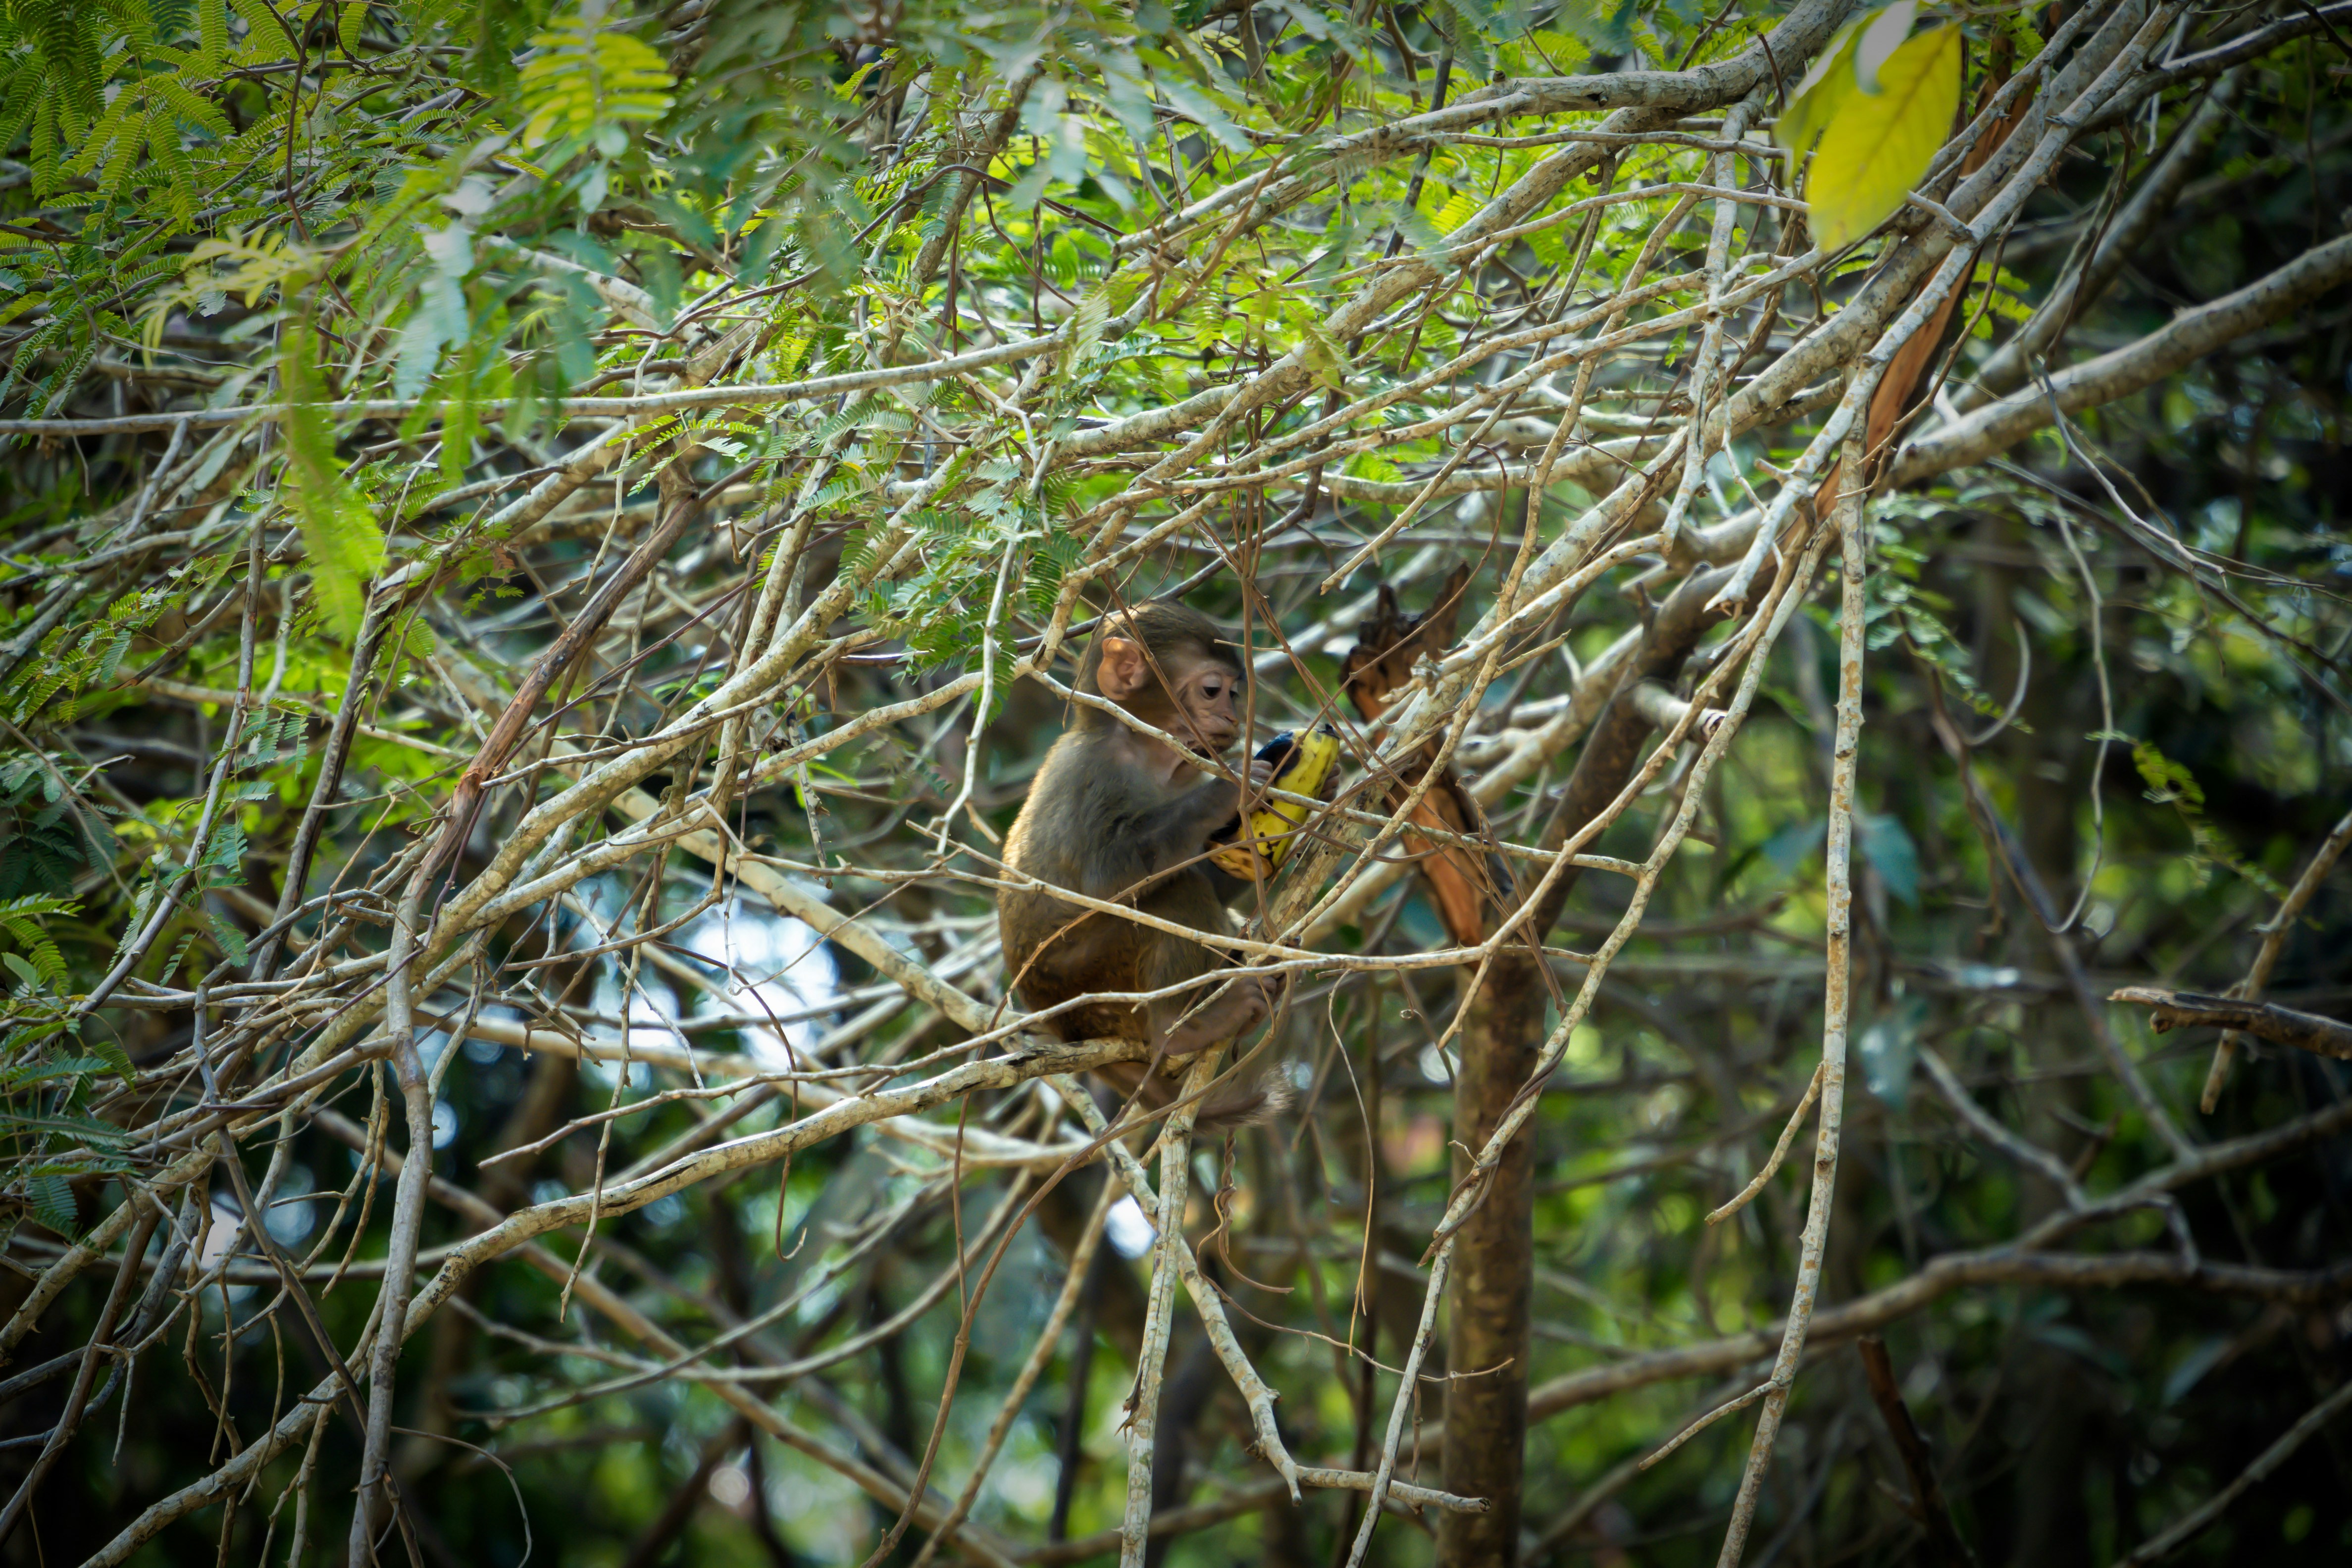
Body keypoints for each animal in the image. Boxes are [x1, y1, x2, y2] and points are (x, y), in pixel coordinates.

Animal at [997, 601, 1307, 1127]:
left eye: (1234, 691)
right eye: (1213, 689)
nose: (1231, 714)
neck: (1151, 754)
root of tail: (1066, 1029)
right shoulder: (1097, 771)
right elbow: (1108, 879)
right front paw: (1229, 790)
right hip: (1093, 980)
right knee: (1172, 893)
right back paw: (1179, 1029)